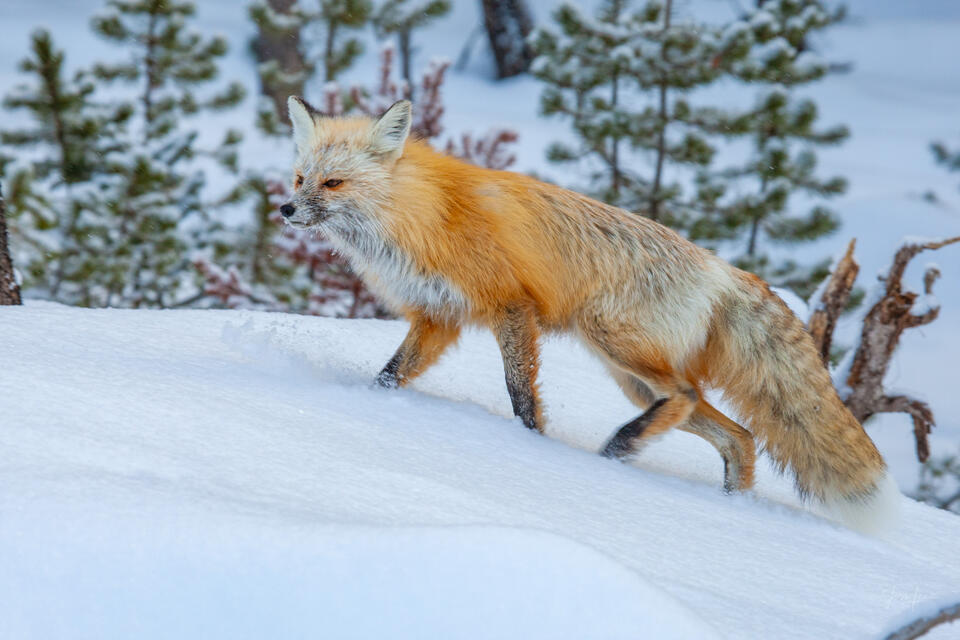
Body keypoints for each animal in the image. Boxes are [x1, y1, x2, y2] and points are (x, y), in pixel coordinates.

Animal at [280, 97, 901, 533]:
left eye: (333, 182)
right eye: (300, 178)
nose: (284, 208)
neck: (421, 215)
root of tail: (723, 268)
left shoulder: (510, 306)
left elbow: (521, 392)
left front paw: (531, 446)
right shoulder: (440, 317)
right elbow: (389, 376)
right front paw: (370, 405)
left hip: (615, 345)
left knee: (687, 397)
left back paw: (620, 447)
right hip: (633, 380)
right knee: (739, 436)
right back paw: (728, 504)